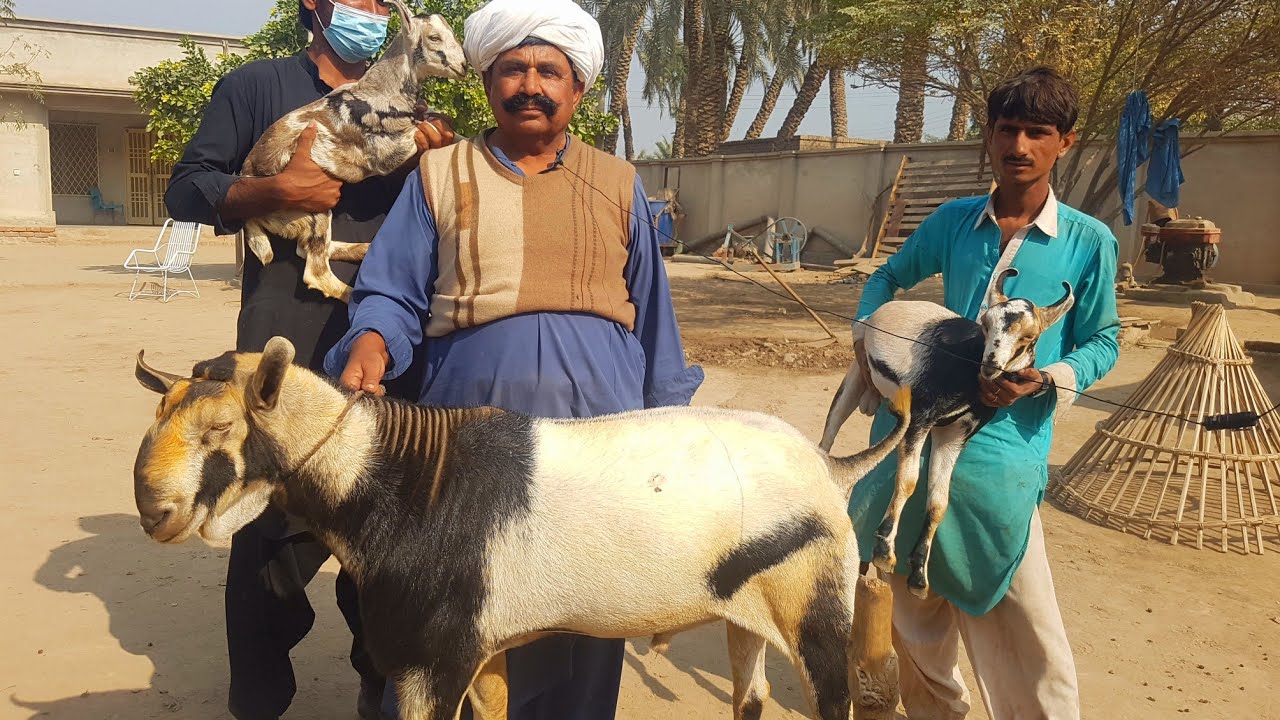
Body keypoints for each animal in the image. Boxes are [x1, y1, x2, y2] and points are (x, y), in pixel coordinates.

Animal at [131, 336, 912, 720]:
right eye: (160, 412)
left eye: (220, 428)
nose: (154, 511)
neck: (399, 478)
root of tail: (830, 466)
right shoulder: (481, 654)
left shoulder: (430, 665)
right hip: (749, 614)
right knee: (749, 700)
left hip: (817, 616)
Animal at [239, 0, 466, 302]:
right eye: (434, 37)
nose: (463, 66)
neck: (379, 93)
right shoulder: (386, 150)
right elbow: (439, 129)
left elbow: (438, 118)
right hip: (311, 208)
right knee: (316, 270)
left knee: (307, 250)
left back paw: (364, 249)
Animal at [819, 268, 1073, 598]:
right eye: (986, 323)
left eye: (1030, 336)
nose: (990, 364)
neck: (966, 372)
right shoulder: (920, 420)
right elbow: (909, 481)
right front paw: (885, 553)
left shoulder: (954, 434)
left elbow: (939, 501)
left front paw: (918, 576)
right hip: (853, 383)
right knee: (827, 439)